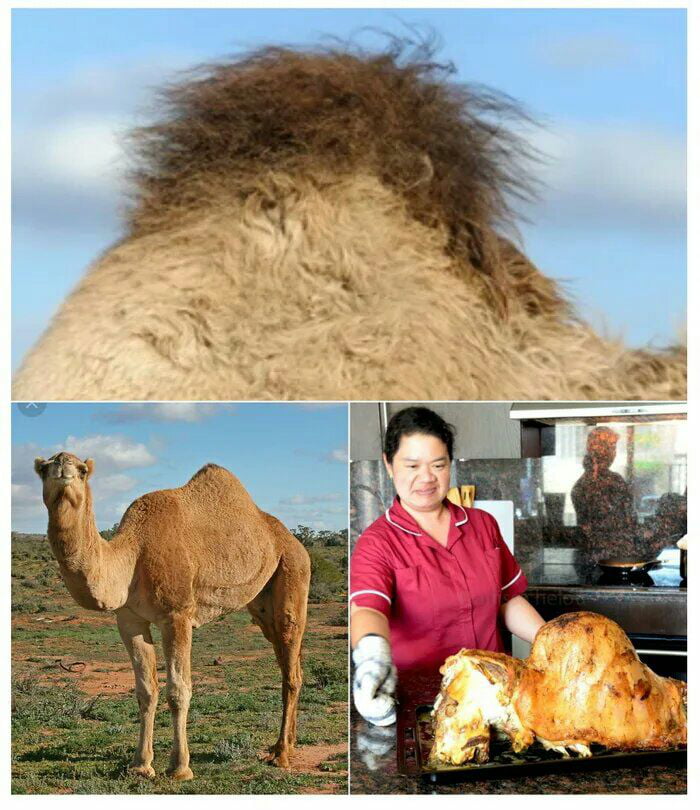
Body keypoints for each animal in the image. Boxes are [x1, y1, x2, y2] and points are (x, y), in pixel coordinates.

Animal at [33, 451, 311, 780]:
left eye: (82, 470)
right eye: (44, 469)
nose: (63, 466)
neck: (133, 555)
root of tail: (293, 541)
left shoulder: (177, 615)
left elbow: (178, 690)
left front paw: (179, 767)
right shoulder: (129, 620)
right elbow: (145, 690)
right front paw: (141, 765)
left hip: (293, 571)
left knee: (290, 664)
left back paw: (281, 755)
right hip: (262, 603)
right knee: (287, 662)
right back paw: (287, 745)